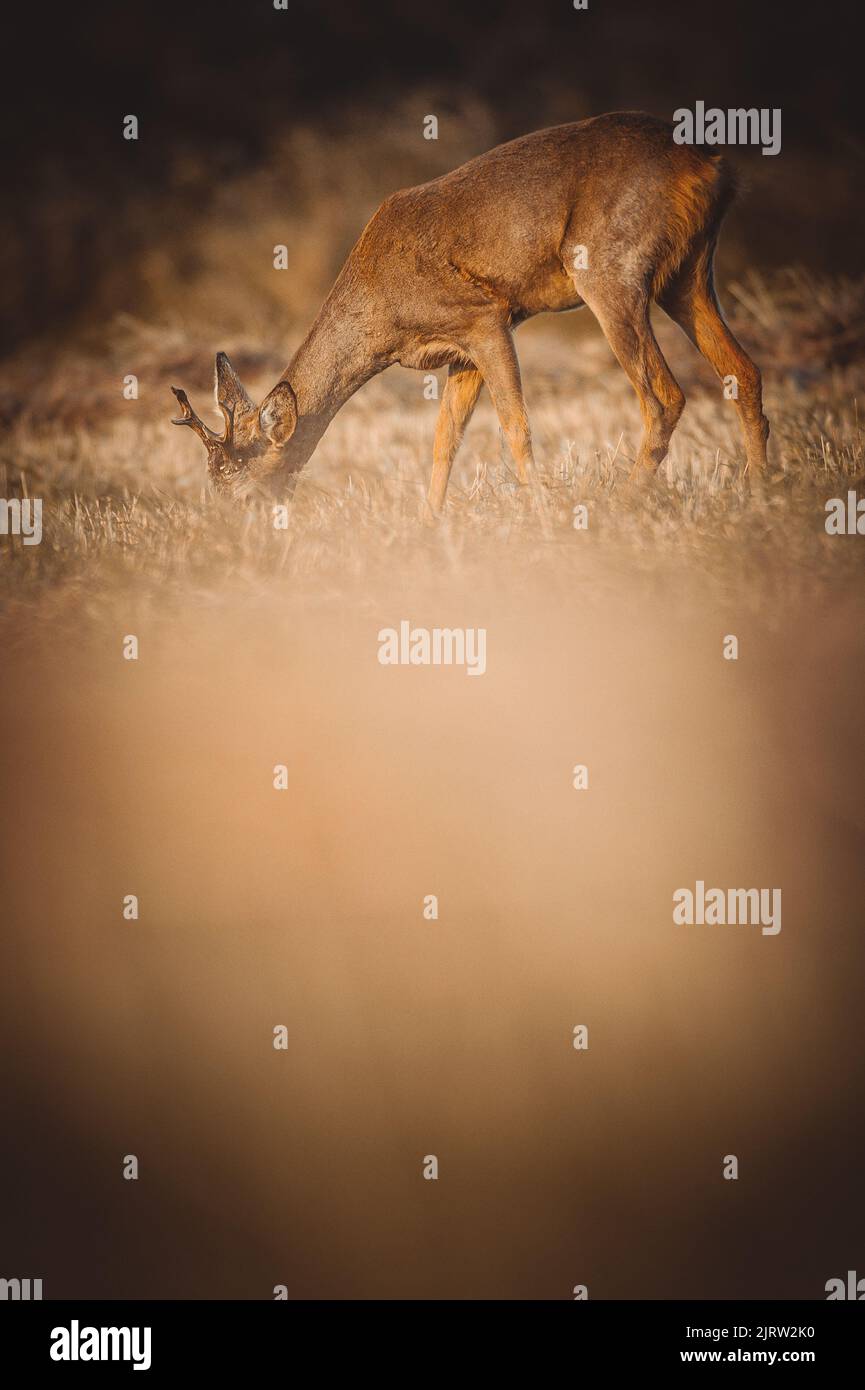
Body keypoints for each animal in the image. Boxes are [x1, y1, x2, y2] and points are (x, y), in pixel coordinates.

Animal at [171, 111, 770, 514]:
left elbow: (515, 427)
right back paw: (758, 494)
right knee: (743, 370)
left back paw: (621, 507)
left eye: (243, 494)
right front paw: (427, 528)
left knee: (665, 396)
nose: (233, 542)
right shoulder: (459, 353)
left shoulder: (486, 315)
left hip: (608, 268)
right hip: (686, 273)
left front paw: (539, 516)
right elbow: (444, 442)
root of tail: (709, 163)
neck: (381, 314)